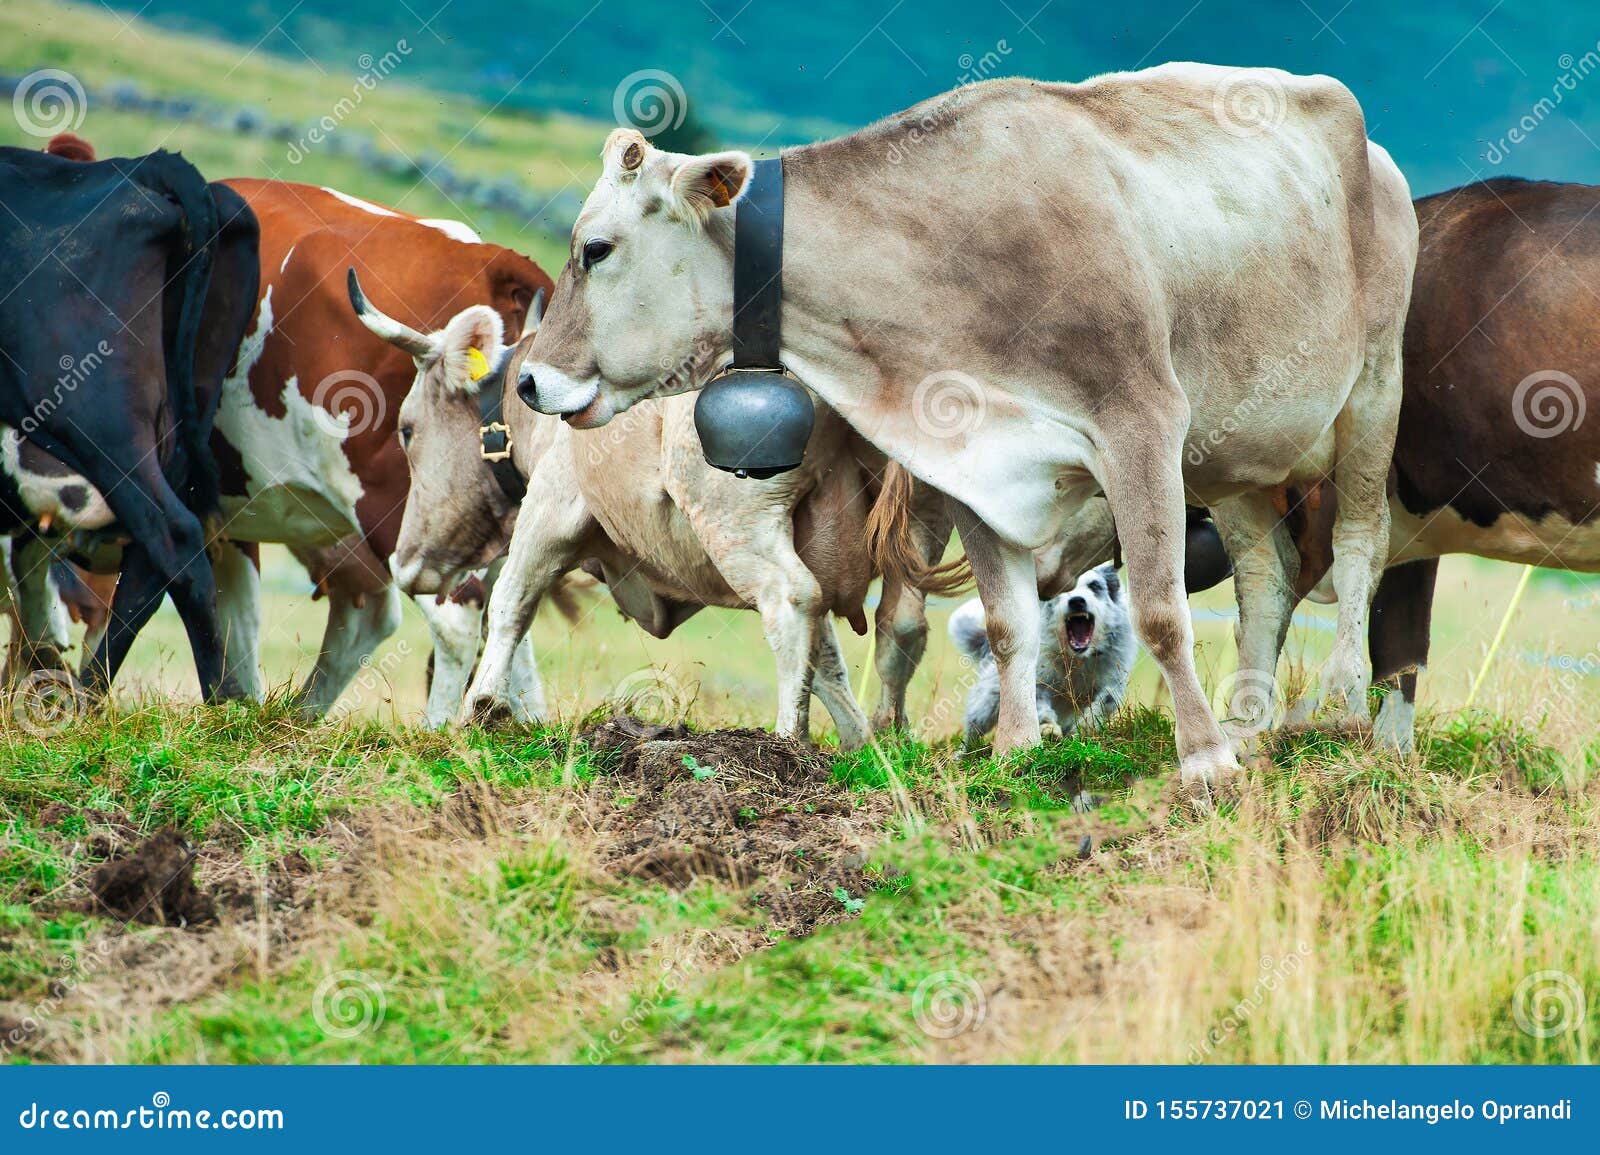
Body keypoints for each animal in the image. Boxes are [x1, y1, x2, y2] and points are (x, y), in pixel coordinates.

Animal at [350, 281, 953, 745]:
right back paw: (890, 733)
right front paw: (858, 742)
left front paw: (481, 707)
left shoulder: (550, 506)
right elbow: (828, 662)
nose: (405, 565)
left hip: (735, 517)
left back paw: (787, 741)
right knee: (900, 619)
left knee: (790, 599)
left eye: (406, 429)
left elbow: (511, 603)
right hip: (924, 516)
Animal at [508, 66, 1418, 791]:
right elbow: (1011, 621)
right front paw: (1017, 751)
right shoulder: (971, 461)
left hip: (1375, 387)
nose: (526, 378)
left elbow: (1161, 608)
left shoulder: (1142, 422)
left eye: (596, 248)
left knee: (1360, 542)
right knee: (1267, 577)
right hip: (1236, 455)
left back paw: (1339, 705)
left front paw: (1201, 761)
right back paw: (1251, 725)